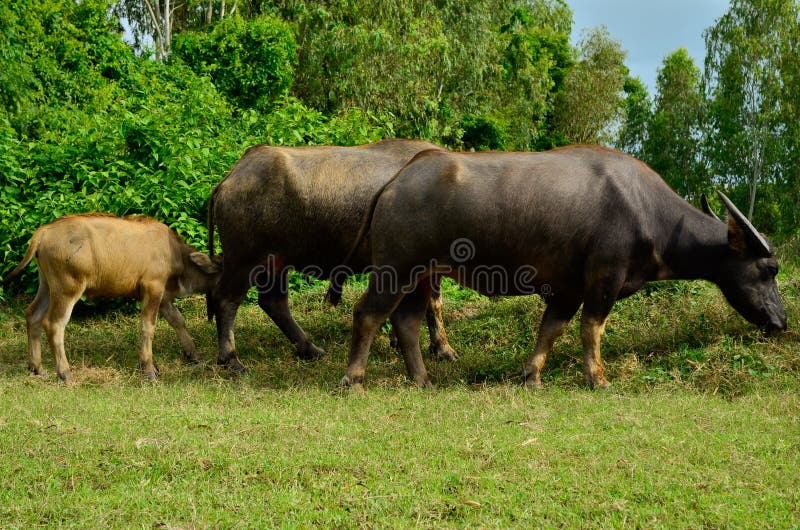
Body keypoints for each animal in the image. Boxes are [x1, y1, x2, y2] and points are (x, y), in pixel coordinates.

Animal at [330, 146, 787, 389]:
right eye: (769, 268)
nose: (781, 322)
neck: (648, 213)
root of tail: (395, 181)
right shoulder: (604, 280)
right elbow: (591, 329)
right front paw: (597, 378)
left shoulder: (567, 290)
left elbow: (551, 329)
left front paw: (531, 375)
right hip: (396, 270)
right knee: (368, 313)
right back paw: (354, 378)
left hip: (422, 276)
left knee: (405, 321)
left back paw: (421, 379)